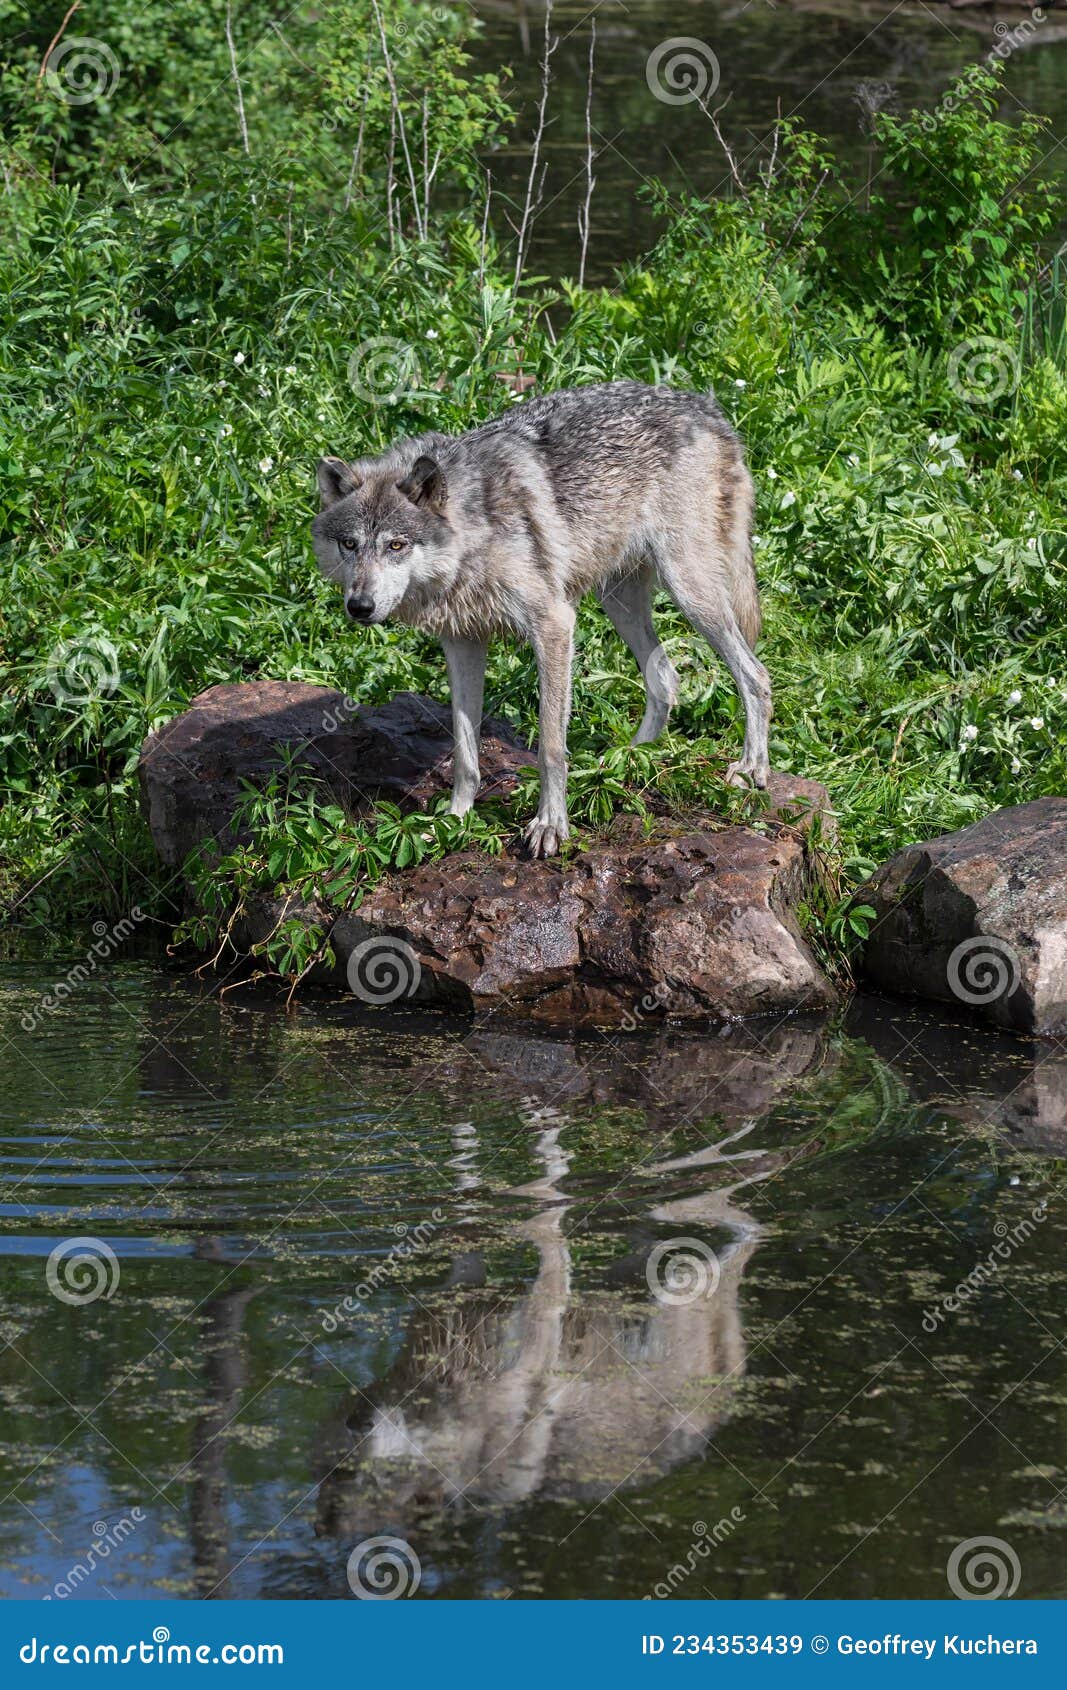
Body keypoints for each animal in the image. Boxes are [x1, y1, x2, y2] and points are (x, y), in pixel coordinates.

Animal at [312, 380, 770, 857]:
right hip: (618, 600)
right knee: (666, 678)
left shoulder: (553, 623)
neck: (473, 534)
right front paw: (454, 821)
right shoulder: (462, 642)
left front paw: (550, 825)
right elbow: (465, 754)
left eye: (396, 545)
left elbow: (551, 745)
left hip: (691, 593)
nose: (359, 606)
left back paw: (750, 769)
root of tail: (705, 404)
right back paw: (625, 763)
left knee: (755, 674)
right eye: (349, 544)